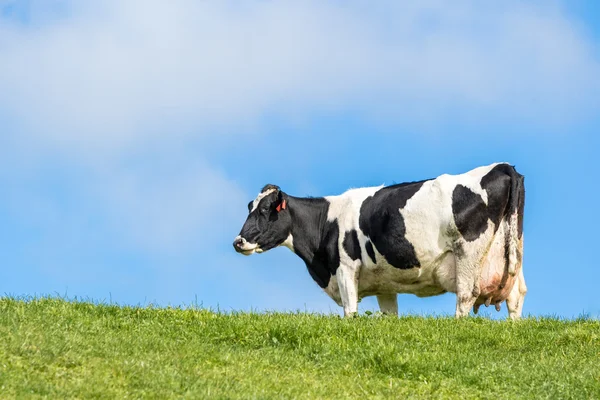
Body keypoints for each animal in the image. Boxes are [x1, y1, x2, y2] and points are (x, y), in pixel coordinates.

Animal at [232, 162, 528, 318]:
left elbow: (350, 311)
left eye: (265, 210)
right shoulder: (385, 284)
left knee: (466, 295)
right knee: (516, 296)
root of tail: (501, 167)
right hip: (511, 251)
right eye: (250, 208)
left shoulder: (345, 268)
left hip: (467, 253)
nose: (238, 241)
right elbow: (390, 315)